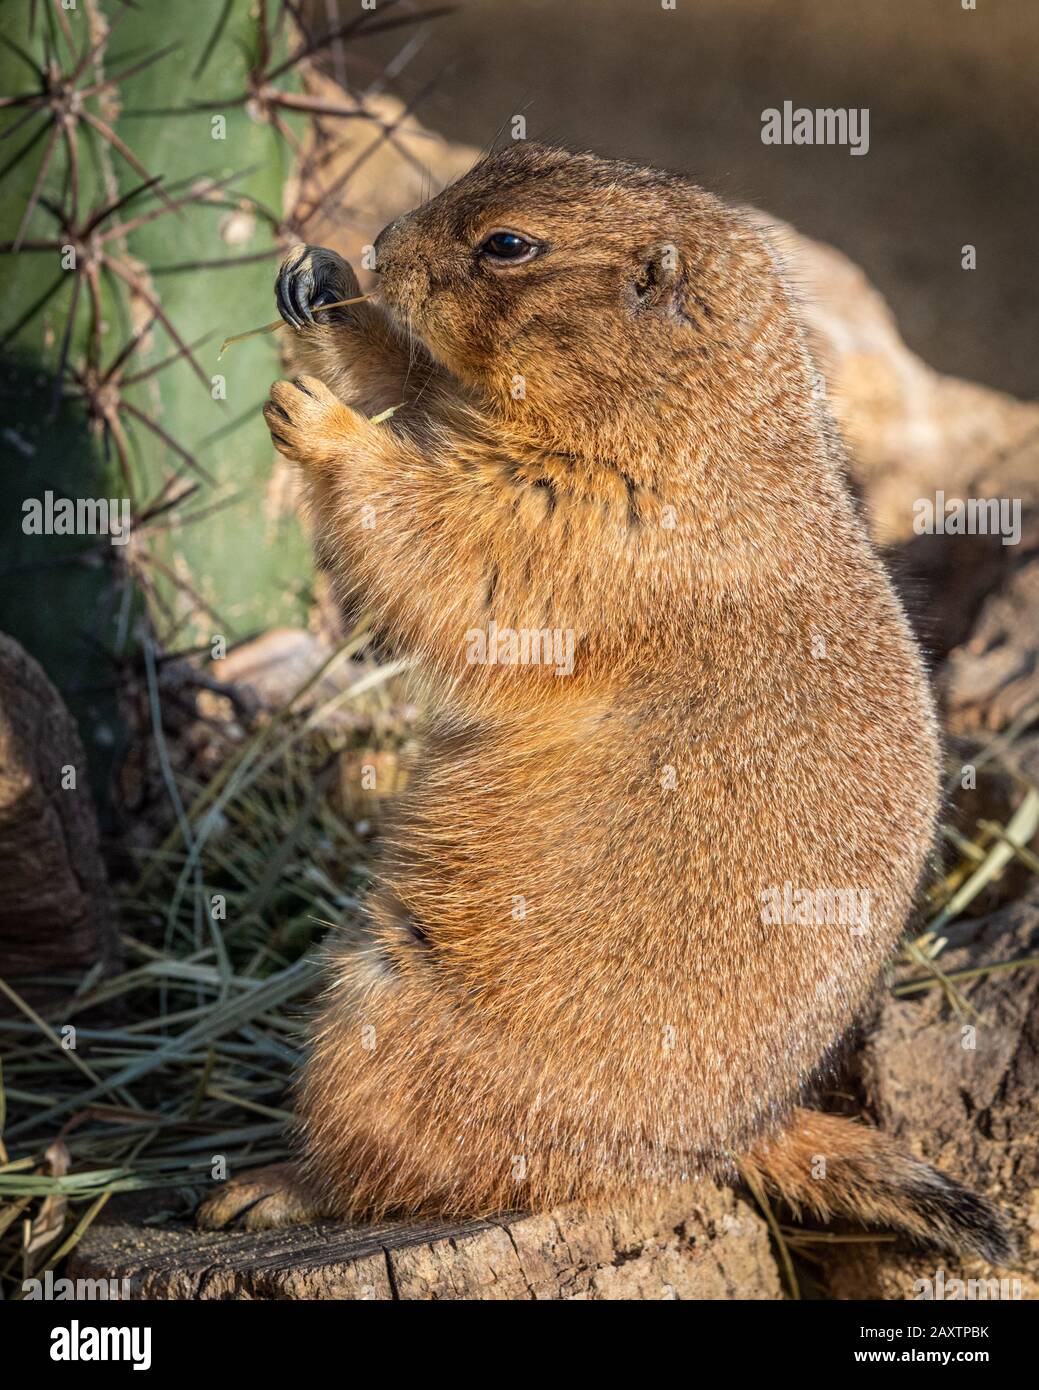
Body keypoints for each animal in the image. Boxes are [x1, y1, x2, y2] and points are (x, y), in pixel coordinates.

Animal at [198, 142, 1013, 1264]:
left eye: (508, 243)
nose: (377, 240)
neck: (685, 413)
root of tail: (729, 1137)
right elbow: (422, 392)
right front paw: (322, 287)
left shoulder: (592, 513)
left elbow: (454, 541)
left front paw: (320, 420)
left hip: (388, 1022)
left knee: (396, 1171)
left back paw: (268, 1188)